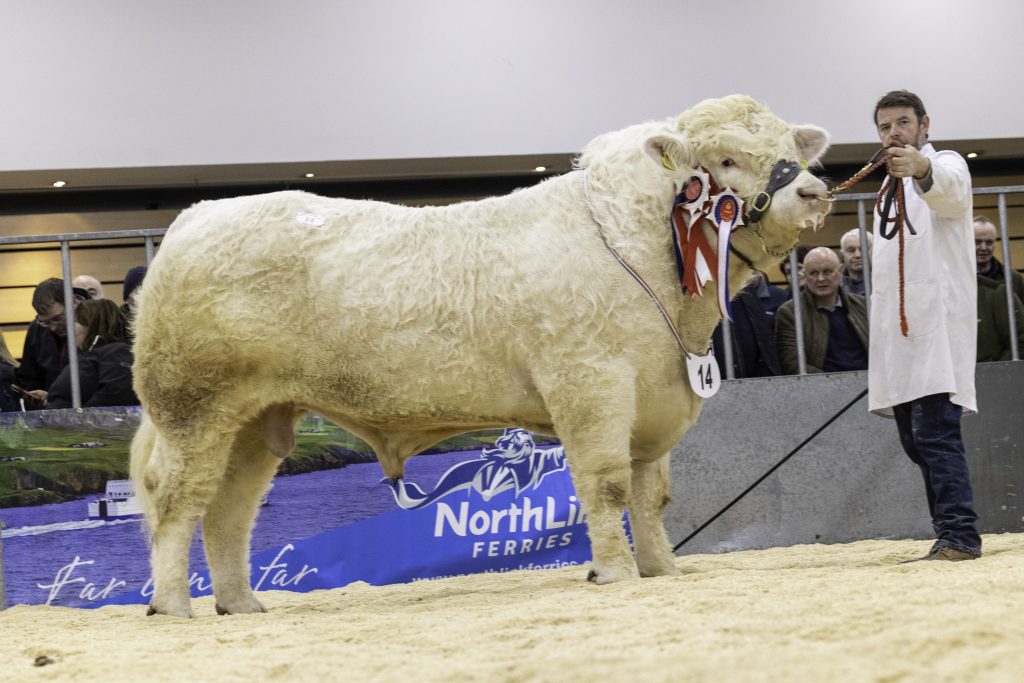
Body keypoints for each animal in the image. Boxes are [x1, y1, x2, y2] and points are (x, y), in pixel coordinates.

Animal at [130, 95, 831, 618]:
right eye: (727, 159)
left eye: (791, 150)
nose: (814, 192)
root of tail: (196, 216)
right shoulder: (590, 382)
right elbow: (605, 485)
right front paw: (616, 574)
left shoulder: (657, 397)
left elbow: (650, 496)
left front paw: (662, 570)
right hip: (193, 408)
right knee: (176, 500)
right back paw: (173, 604)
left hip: (255, 419)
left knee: (229, 509)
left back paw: (240, 603)